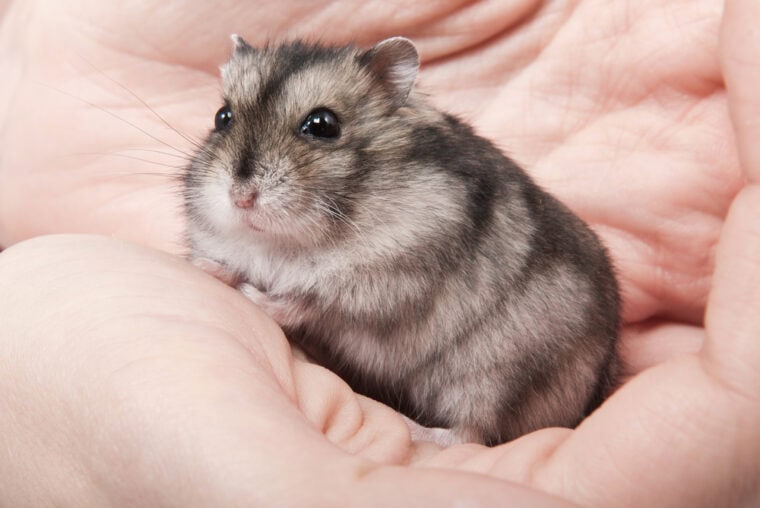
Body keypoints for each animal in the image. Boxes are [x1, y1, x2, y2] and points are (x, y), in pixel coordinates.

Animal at [183, 36, 620, 445]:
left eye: (323, 125)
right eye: (222, 117)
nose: (240, 198)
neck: (287, 241)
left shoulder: (387, 281)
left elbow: (304, 302)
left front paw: (249, 293)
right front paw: (205, 266)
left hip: (495, 376)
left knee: (469, 433)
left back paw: (416, 430)